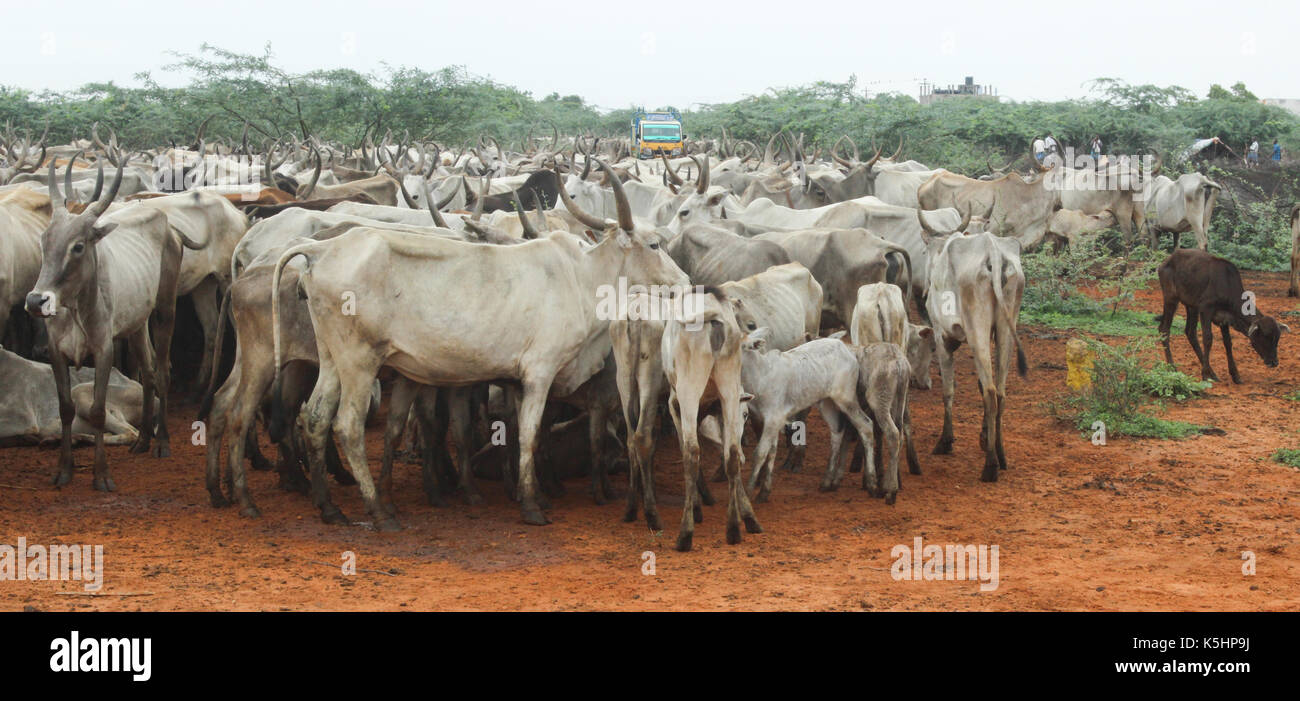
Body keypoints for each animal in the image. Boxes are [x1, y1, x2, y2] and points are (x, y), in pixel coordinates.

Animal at [925, 231, 1028, 482]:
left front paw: (945, 441)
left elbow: (948, 390)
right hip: (1005, 328)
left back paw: (990, 465)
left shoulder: (941, 336)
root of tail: (993, 250)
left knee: (991, 392)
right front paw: (984, 436)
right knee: (999, 392)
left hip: (976, 327)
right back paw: (1000, 453)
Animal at [1156, 248, 1288, 383]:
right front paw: (1204, 374)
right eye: (1266, 337)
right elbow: (1208, 339)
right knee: (1164, 329)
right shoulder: (1205, 309)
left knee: (1190, 332)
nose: (1274, 362)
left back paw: (1213, 373)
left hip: (1191, 306)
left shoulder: (1224, 319)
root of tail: (1166, 261)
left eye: (1277, 338)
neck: (1226, 284)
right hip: (1171, 298)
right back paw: (1172, 367)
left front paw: (1235, 375)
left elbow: (1228, 343)